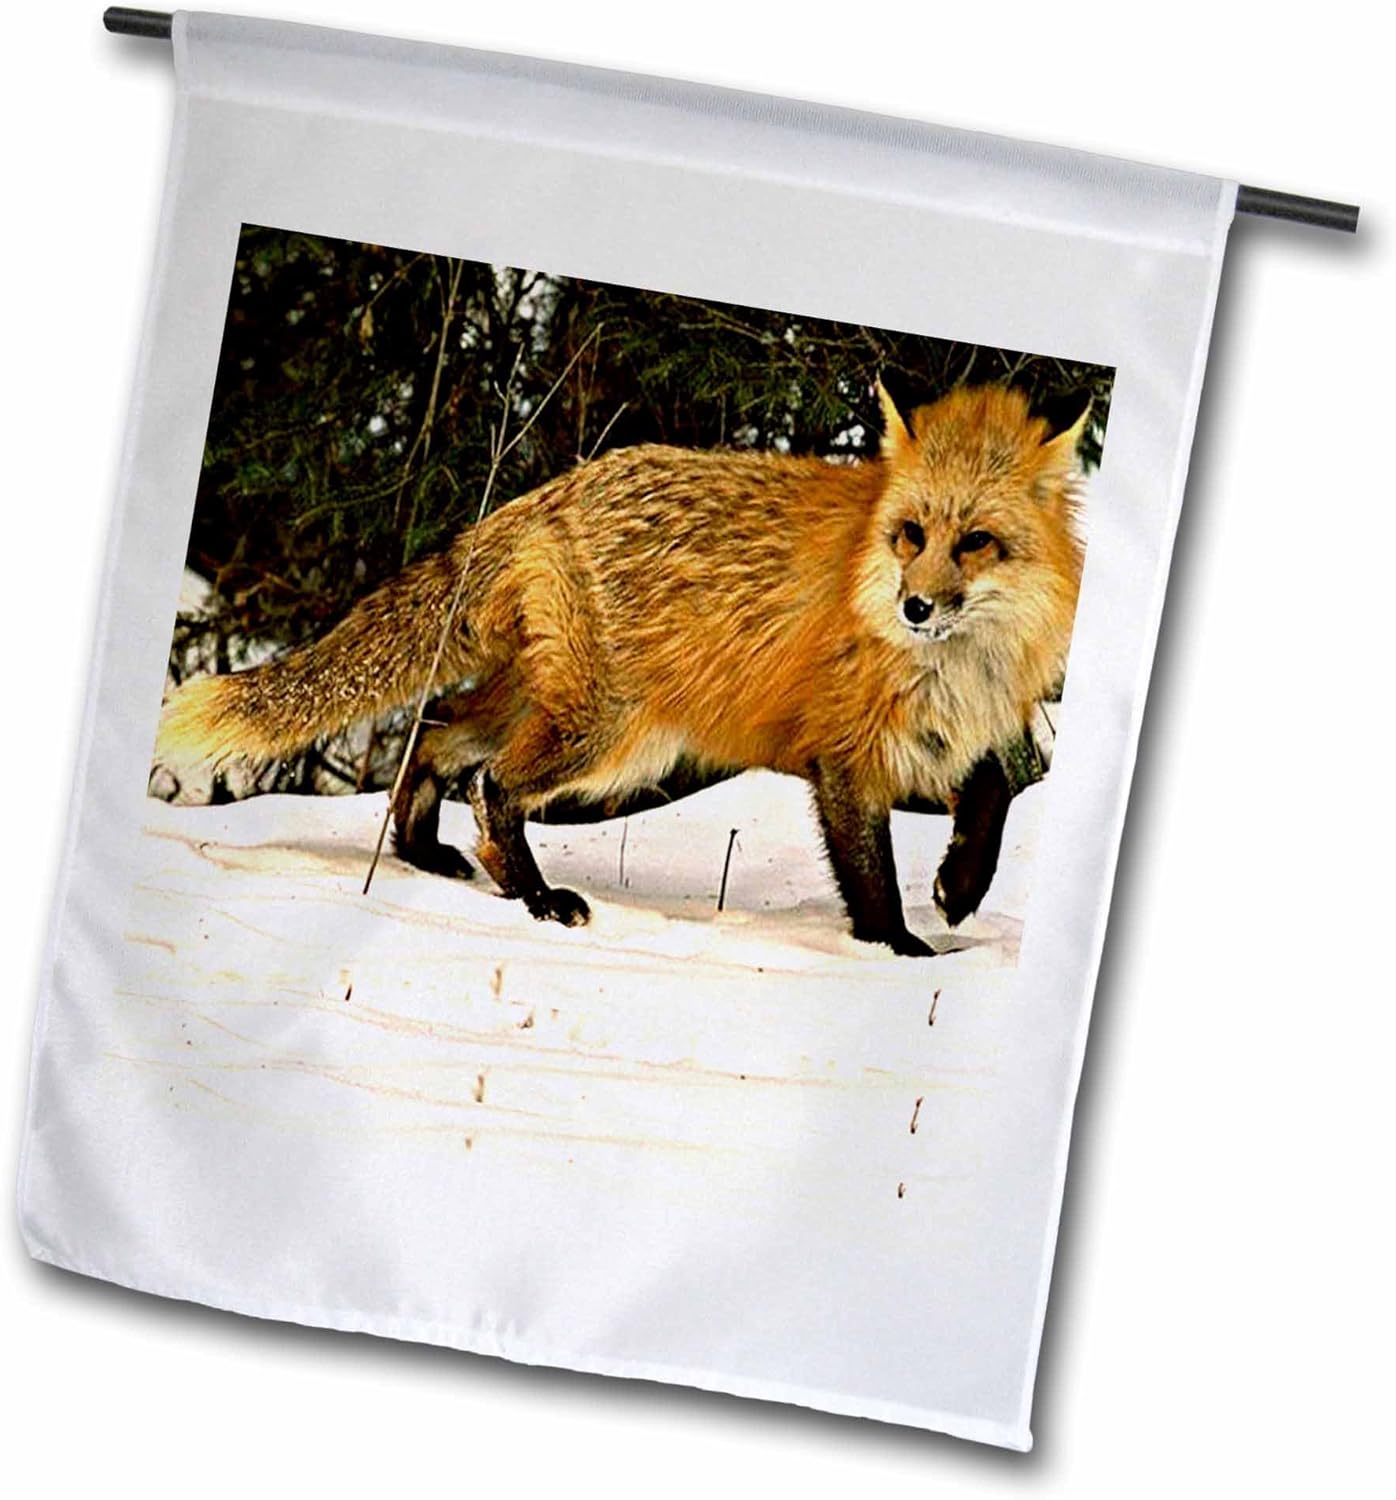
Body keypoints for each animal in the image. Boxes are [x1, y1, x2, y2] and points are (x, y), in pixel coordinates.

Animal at [157, 380, 1088, 957]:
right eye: (910, 534)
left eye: (976, 541)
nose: (915, 608)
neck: (956, 666)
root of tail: (554, 488)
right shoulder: (843, 756)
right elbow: (873, 878)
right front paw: (899, 953)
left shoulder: (950, 734)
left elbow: (997, 791)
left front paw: (960, 887)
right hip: (606, 736)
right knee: (491, 786)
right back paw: (536, 898)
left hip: (574, 718)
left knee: (435, 731)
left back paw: (425, 856)